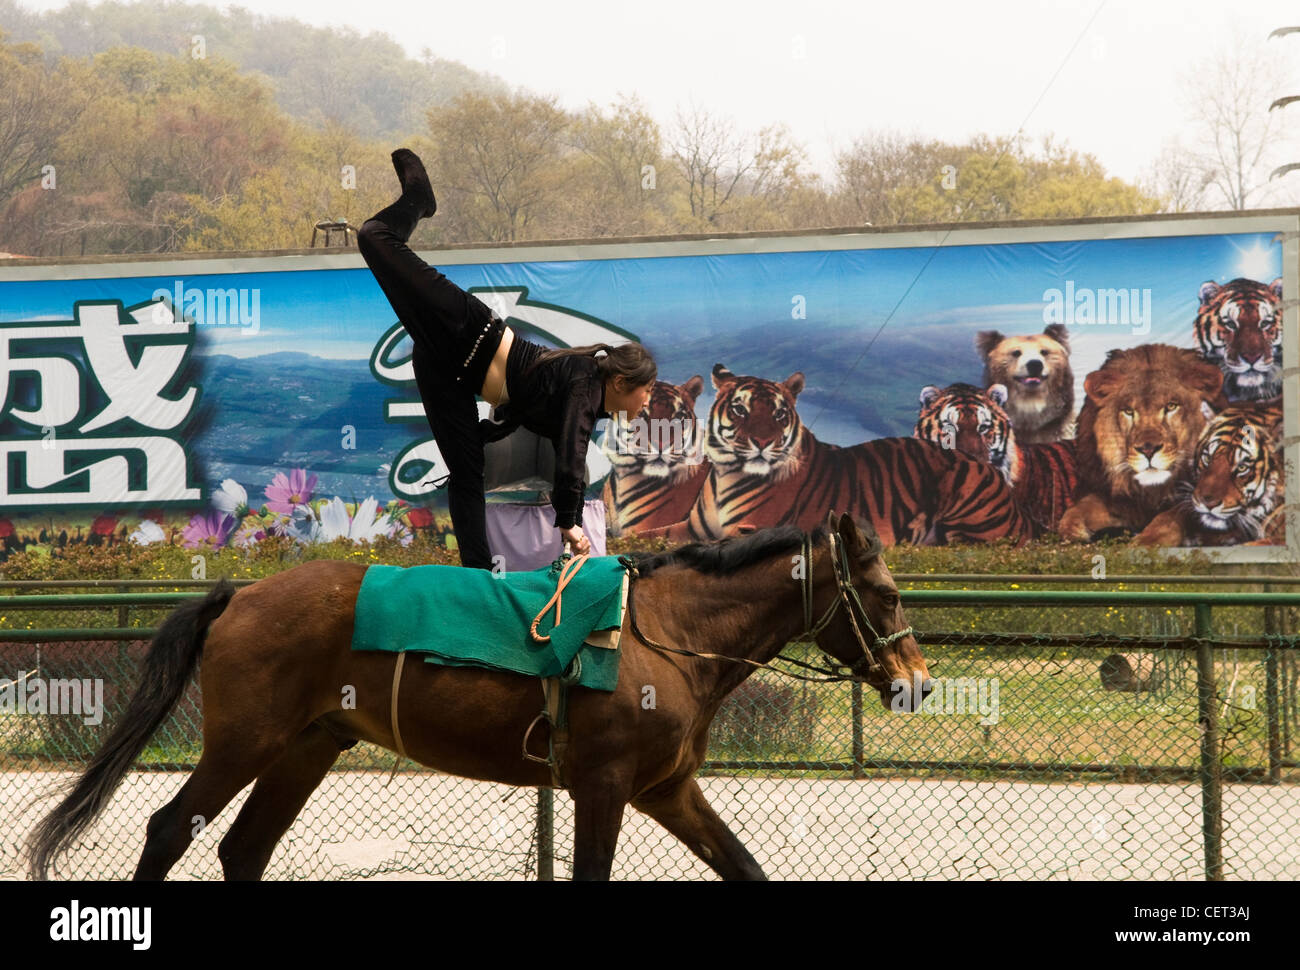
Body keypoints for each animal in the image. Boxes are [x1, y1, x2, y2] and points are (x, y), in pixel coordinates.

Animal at [28, 511, 931, 881]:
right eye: (887, 594)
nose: (918, 683)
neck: (663, 634)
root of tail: (242, 595)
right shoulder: (603, 786)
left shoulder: (666, 790)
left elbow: (745, 867)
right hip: (245, 741)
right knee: (168, 830)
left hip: (306, 746)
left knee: (244, 850)